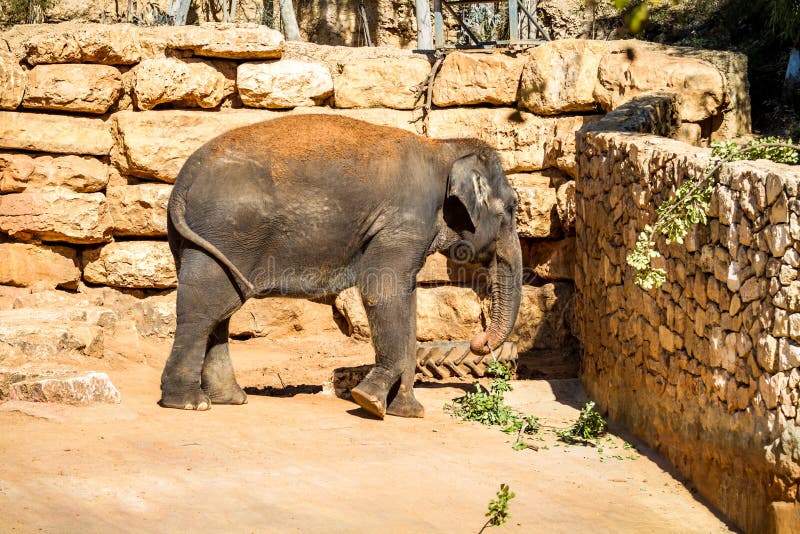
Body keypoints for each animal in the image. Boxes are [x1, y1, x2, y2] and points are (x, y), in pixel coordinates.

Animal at [160, 114, 522, 419]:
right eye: (512, 208)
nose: (477, 342)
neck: (443, 148)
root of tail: (183, 181)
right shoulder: (403, 223)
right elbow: (382, 292)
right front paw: (370, 402)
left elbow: (407, 303)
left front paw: (408, 412)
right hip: (224, 232)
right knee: (204, 309)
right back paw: (191, 404)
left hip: (197, 240)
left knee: (220, 310)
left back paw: (230, 399)